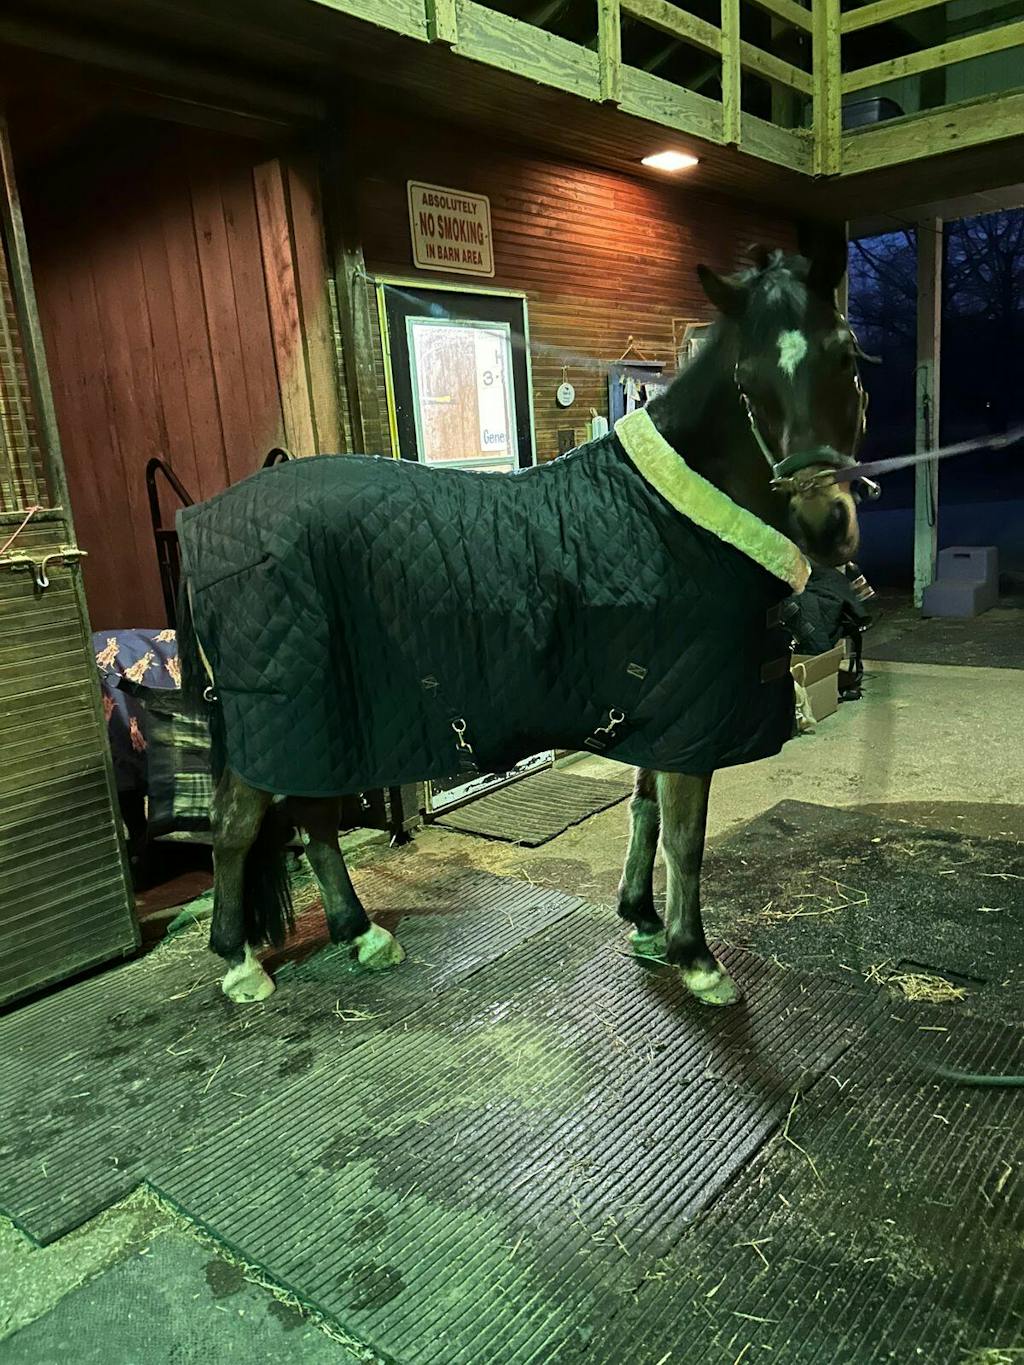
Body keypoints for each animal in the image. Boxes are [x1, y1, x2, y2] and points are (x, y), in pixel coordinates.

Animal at [174, 233, 871, 1007]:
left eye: (846, 355)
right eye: (747, 380)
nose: (826, 522)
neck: (671, 516)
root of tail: (203, 522)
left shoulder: (662, 709)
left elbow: (645, 809)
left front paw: (643, 920)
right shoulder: (690, 722)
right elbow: (684, 839)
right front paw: (696, 958)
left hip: (325, 723)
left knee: (315, 821)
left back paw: (360, 935)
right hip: (286, 715)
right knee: (238, 827)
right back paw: (241, 963)